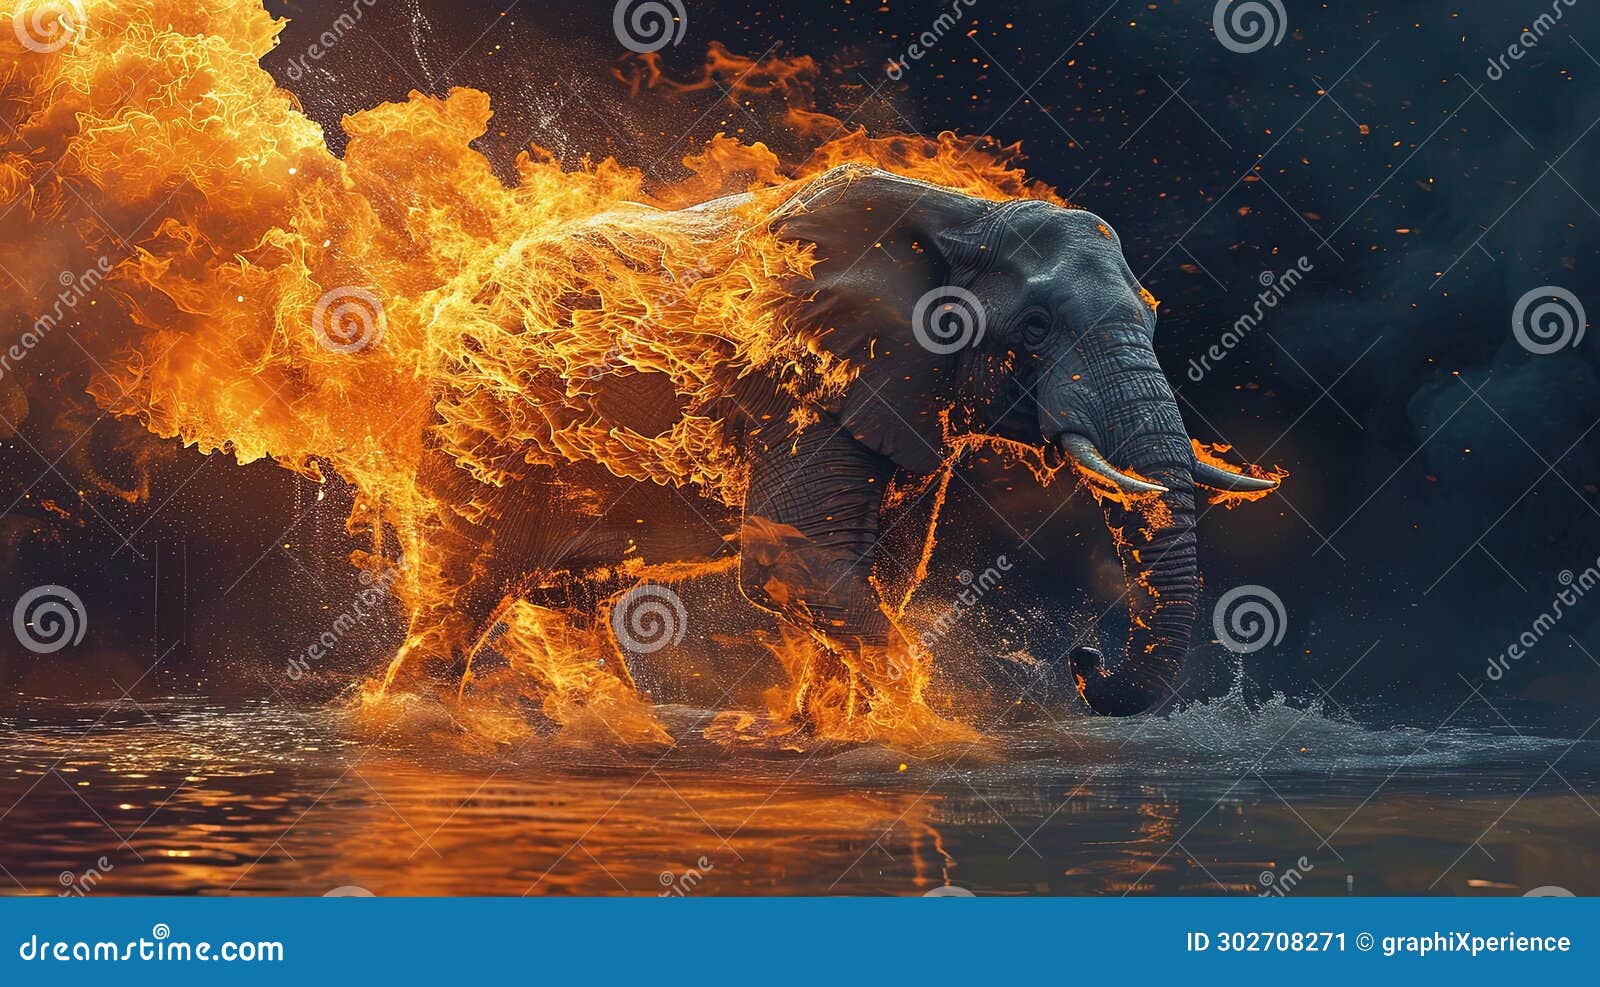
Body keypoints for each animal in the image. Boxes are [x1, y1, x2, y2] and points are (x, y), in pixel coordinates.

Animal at [435, 163, 1280, 723]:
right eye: (1036, 328)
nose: (1082, 656)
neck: (968, 215)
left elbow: (877, 568)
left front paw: (831, 730)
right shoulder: (797, 374)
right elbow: (797, 561)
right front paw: (920, 736)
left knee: (571, 600)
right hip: (476, 429)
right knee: (465, 585)